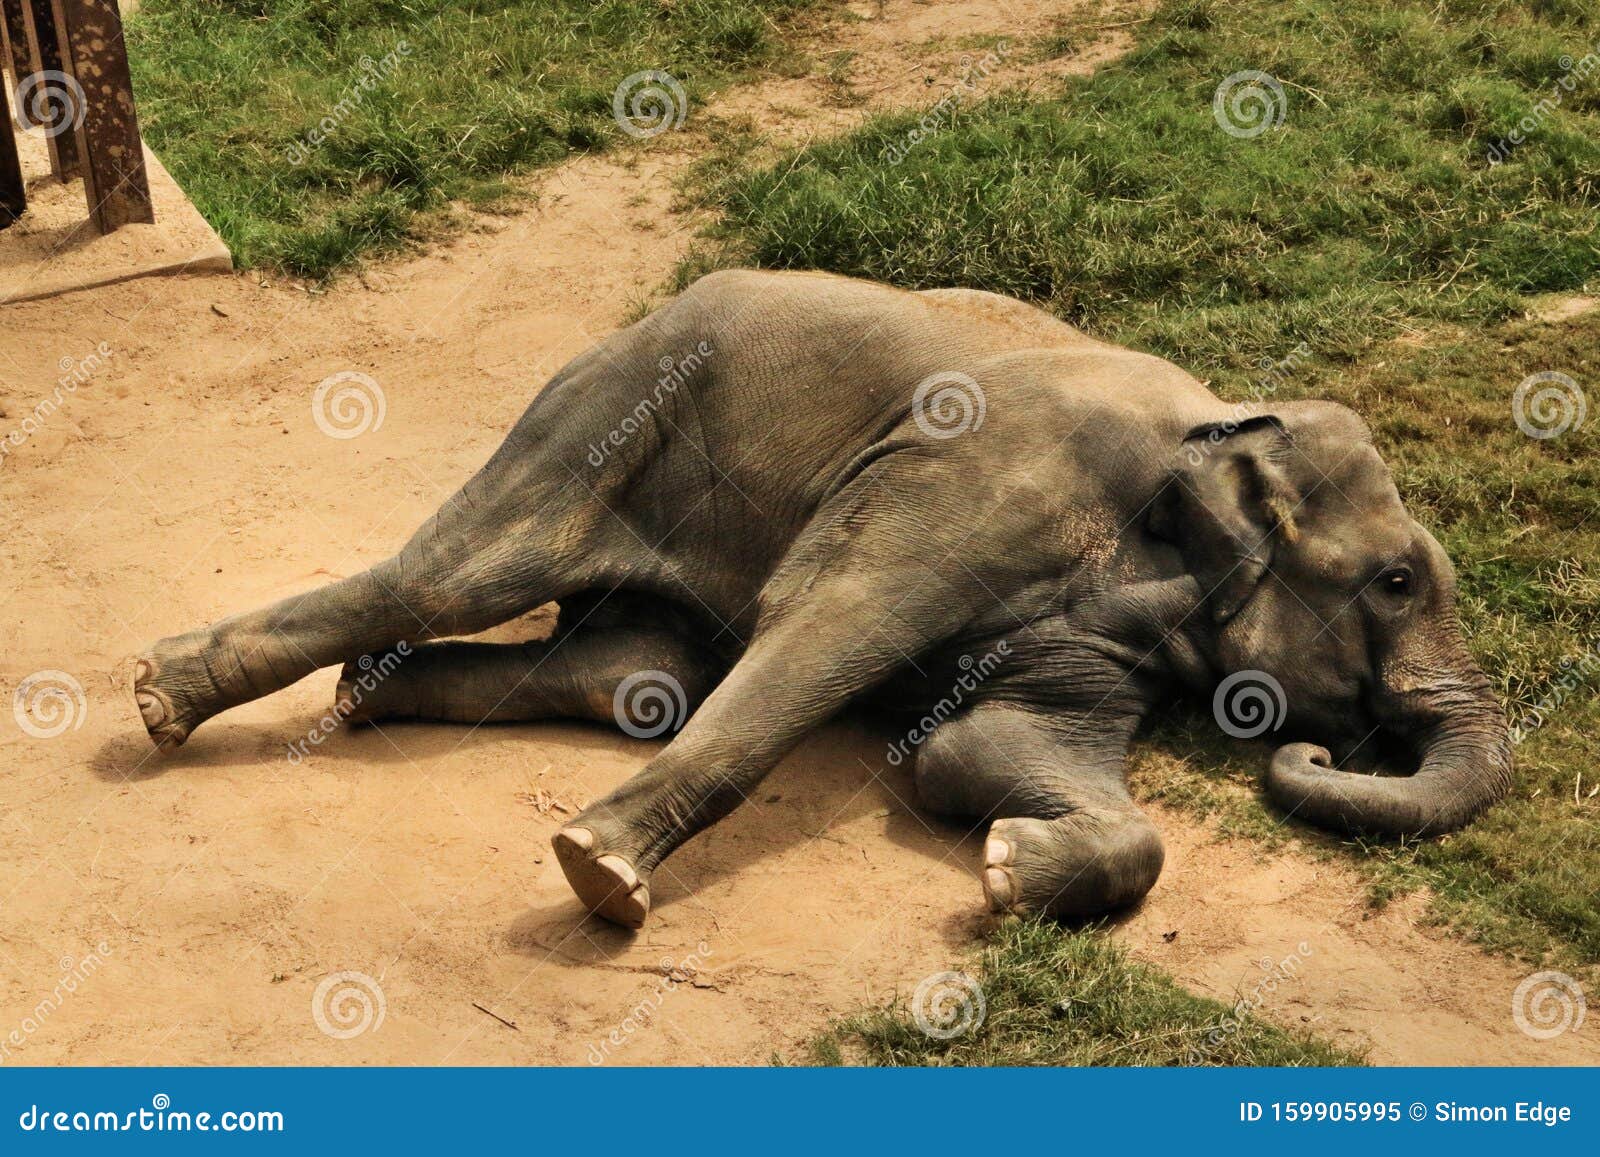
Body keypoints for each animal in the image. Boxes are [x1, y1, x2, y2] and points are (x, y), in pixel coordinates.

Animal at [132, 269, 1512, 929]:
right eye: (1394, 580)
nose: (1323, 747)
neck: (1228, 418)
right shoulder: (976, 480)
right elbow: (837, 631)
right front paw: (599, 877)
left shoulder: (1111, 622)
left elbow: (979, 745)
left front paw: (1007, 866)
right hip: (607, 413)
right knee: (463, 571)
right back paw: (158, 698)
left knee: (637, 674)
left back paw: (363, 697)